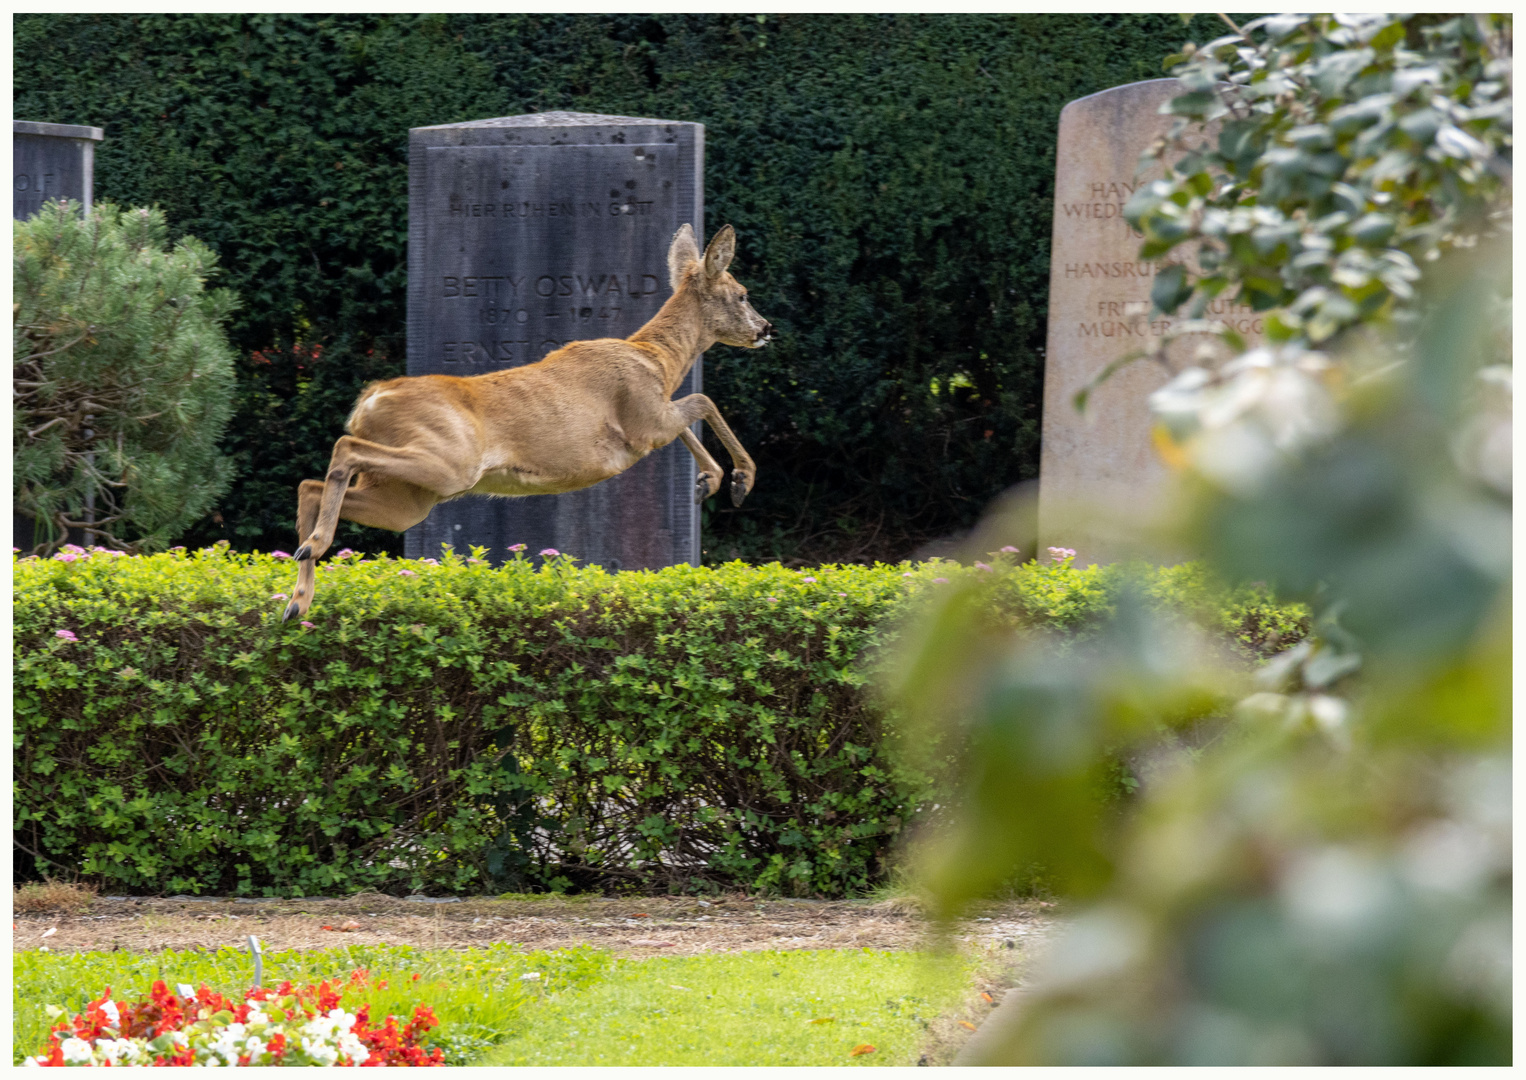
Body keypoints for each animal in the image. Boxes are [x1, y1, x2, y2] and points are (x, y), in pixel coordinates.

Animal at [282, 224, 771, 622]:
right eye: (742, 293)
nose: (766, 329)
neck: (658, 359)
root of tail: (369, 401)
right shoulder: (644, 420)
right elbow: (702, 401)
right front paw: (740, 480)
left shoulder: (653, 416)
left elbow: (692, 412)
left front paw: (710, 481)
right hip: (449, 461)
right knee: (343, 449)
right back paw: (315, 551)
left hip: (408, 498)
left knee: (310, 486)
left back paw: (297, 601)